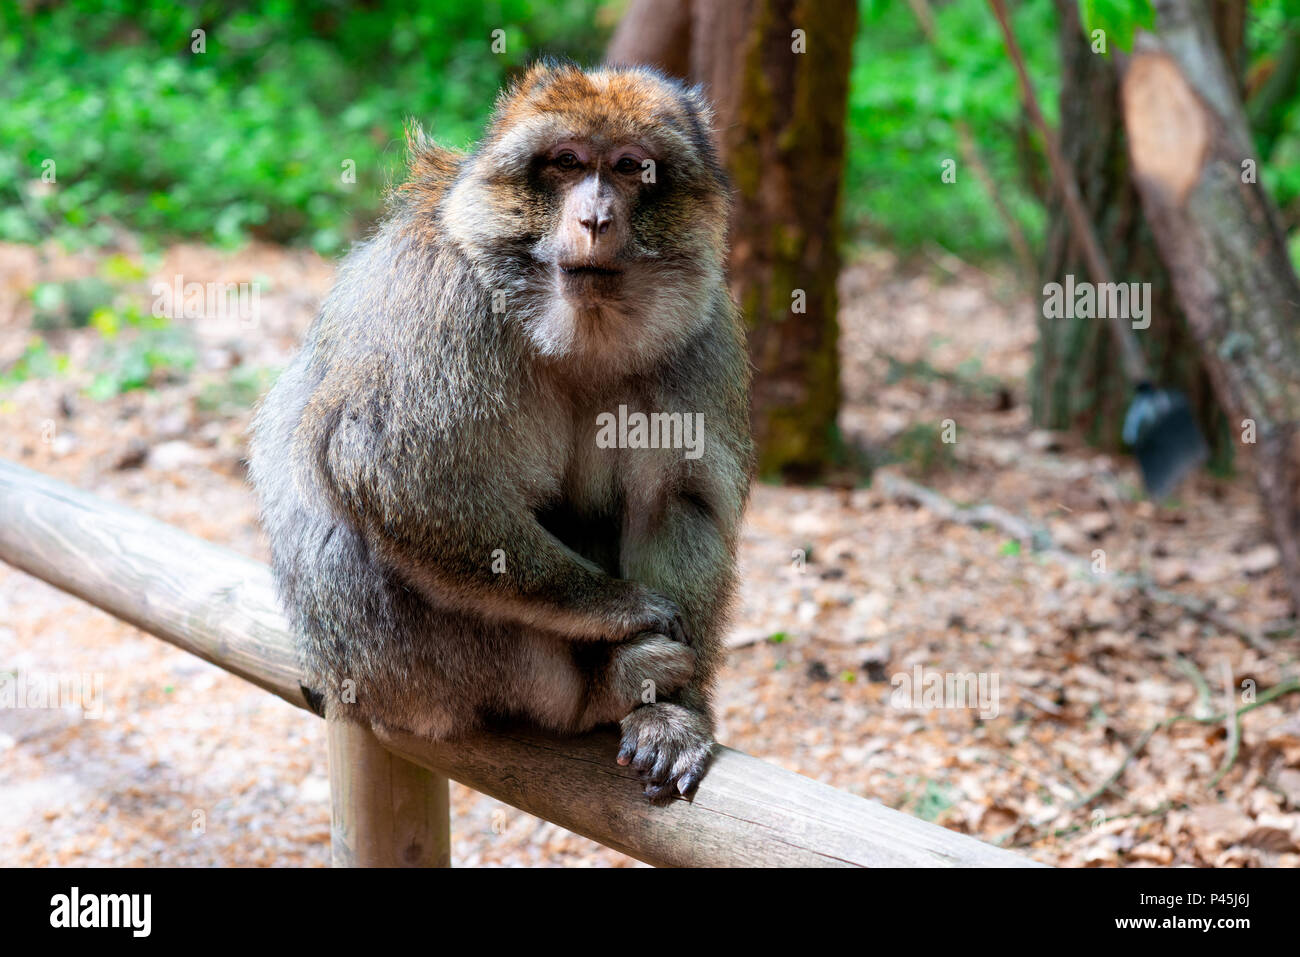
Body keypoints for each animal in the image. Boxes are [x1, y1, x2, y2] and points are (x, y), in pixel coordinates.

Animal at [249, 61, 753, 801]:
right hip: (386, 674)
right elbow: (391, 470)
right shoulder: (443, 299)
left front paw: (674, 715)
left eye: (632, 168)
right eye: (567, 162)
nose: (596, 217)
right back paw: (599, 689)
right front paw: (619, 606)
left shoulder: (702, 334)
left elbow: (676, 502)